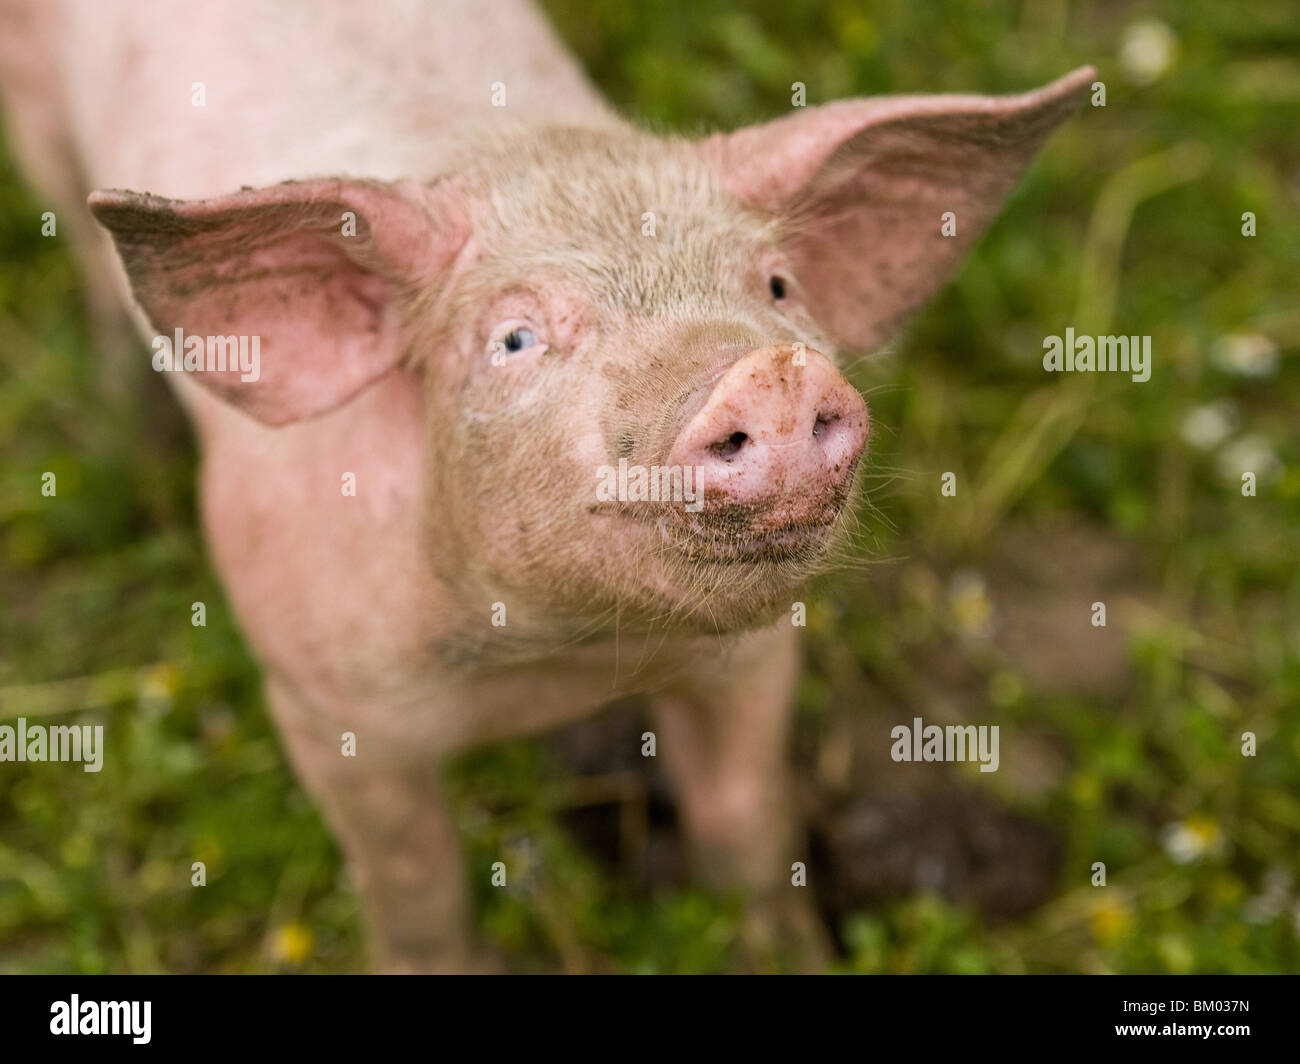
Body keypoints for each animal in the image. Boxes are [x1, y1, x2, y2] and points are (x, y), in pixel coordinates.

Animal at [0, 0, 1094, 971]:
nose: (769, 372)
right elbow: (415, 886)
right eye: (515, 338)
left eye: (778, 285)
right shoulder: (319, 700)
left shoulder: (754, 656)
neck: (554, 660)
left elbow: (745, 828)